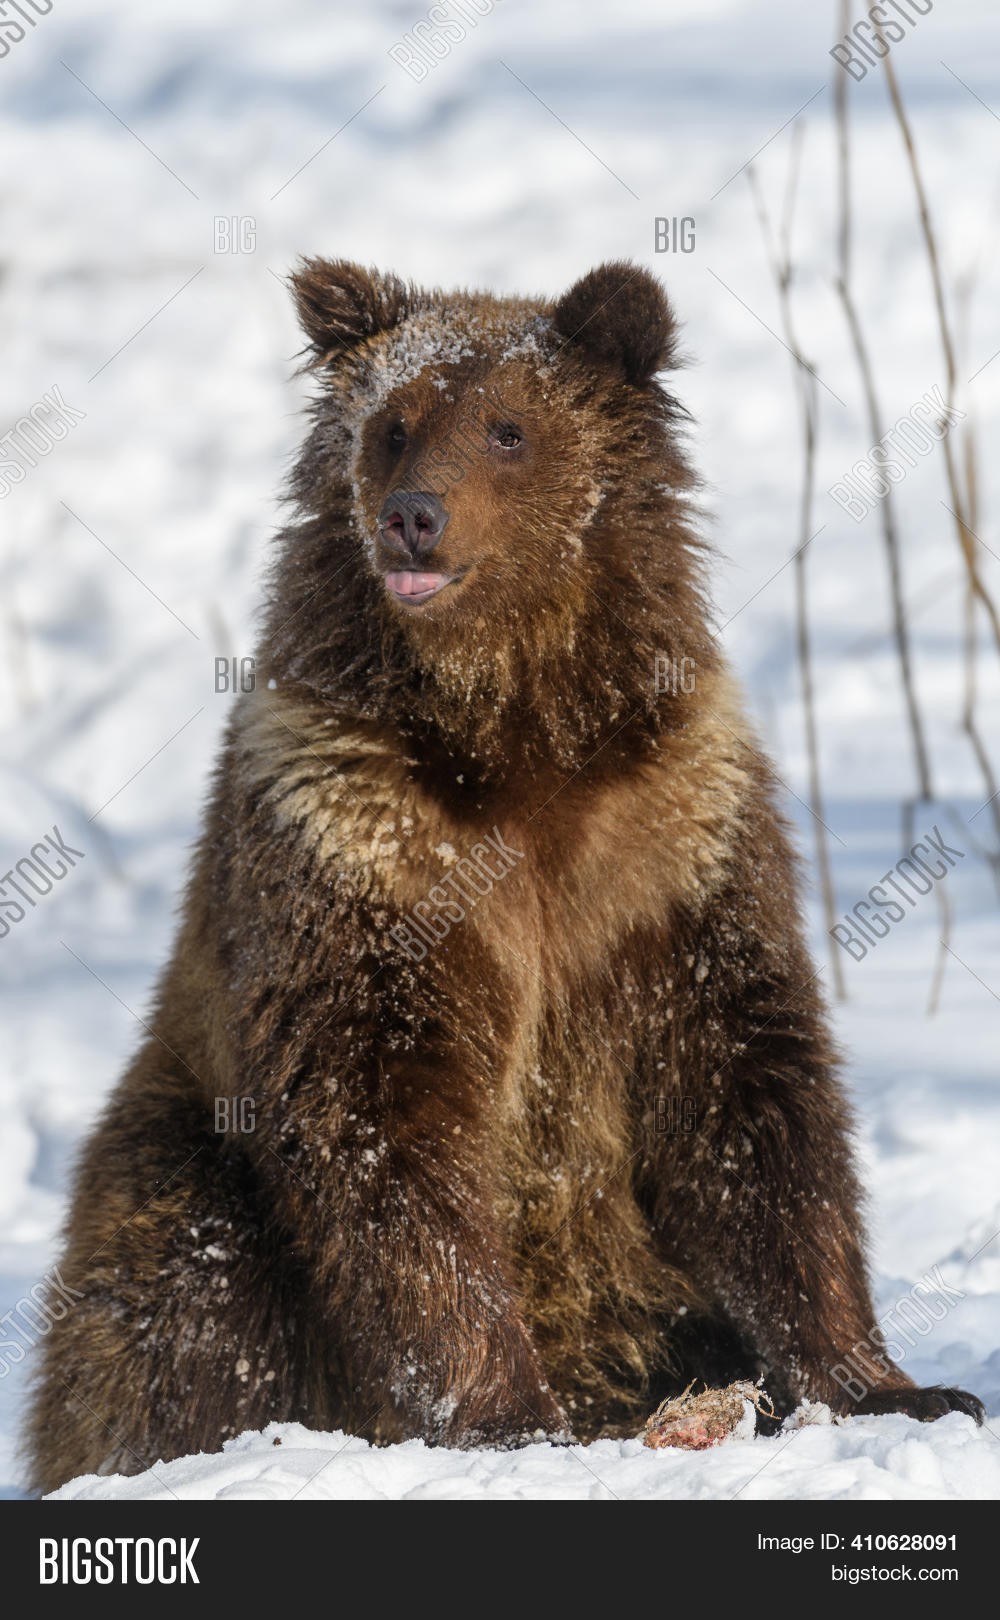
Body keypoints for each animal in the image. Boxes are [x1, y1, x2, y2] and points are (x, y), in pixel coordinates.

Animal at [26, 259, 983, 1493]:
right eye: (391, 424)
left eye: (508, 428)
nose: (412, 518)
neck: (511, 720)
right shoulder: (363, 842)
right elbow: (382, 1117)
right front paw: (504, 1411)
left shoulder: (667, 843)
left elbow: (752, 1100)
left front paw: (893, 1385)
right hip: (182, 1144)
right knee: (187, 1289)